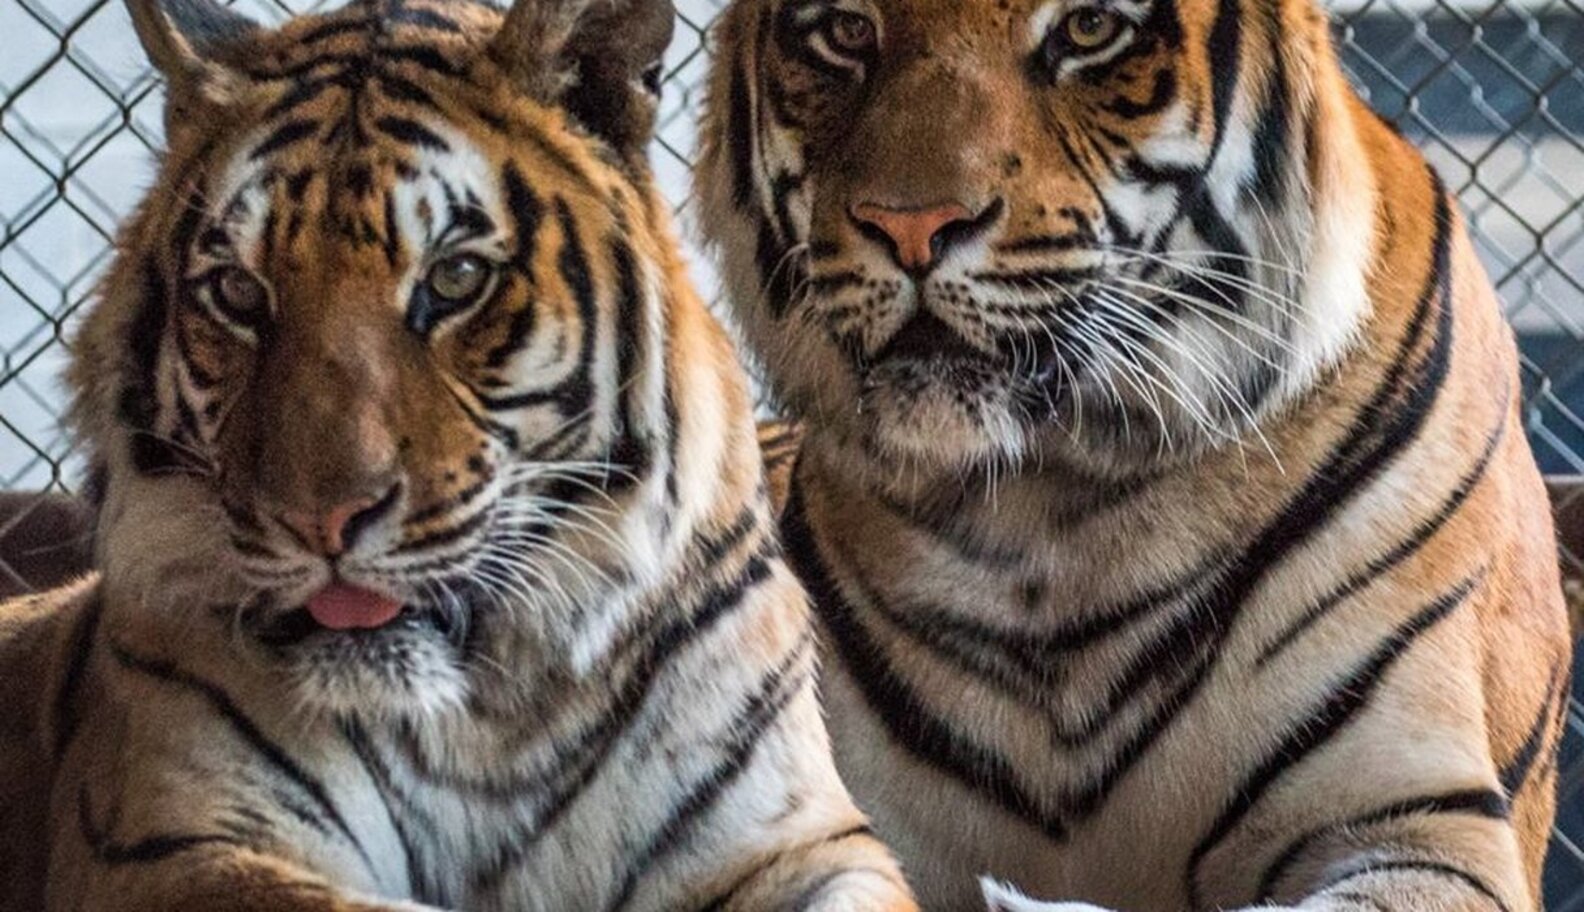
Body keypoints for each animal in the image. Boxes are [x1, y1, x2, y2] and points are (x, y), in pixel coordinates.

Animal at [0, 1, 922, 909]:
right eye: (237, 293)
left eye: (454, 279)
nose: (319, 522)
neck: (492, 724)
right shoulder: (176, 845)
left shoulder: (796, 842)